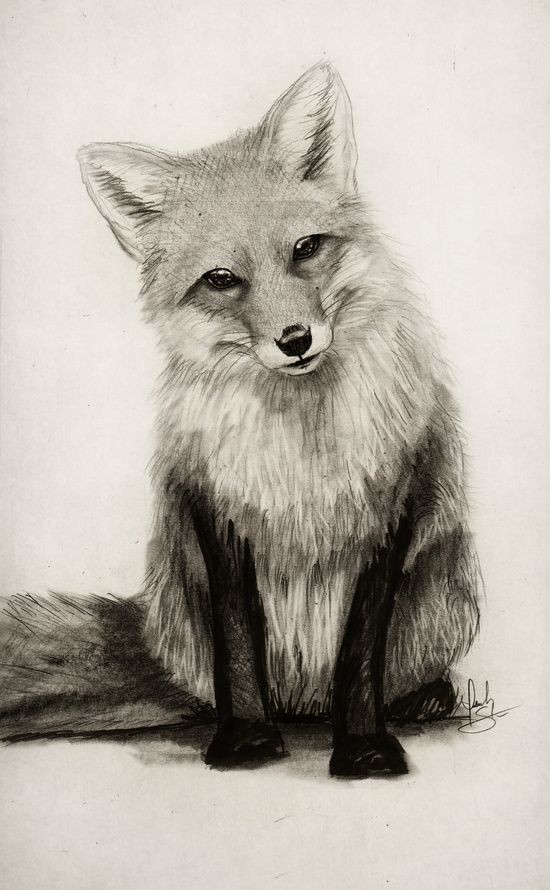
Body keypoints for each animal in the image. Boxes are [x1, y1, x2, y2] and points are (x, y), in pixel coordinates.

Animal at [0, 63, 481, 777]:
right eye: (222, 279)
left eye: (306, 248)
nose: (295, 339)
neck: (299, 452)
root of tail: (303, 704)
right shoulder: (216, 510)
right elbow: (237, 642)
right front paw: (247, 740)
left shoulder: (391, 506)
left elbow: (361, 652)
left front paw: (365, 747)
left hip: (443, 596)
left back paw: (424, 696)